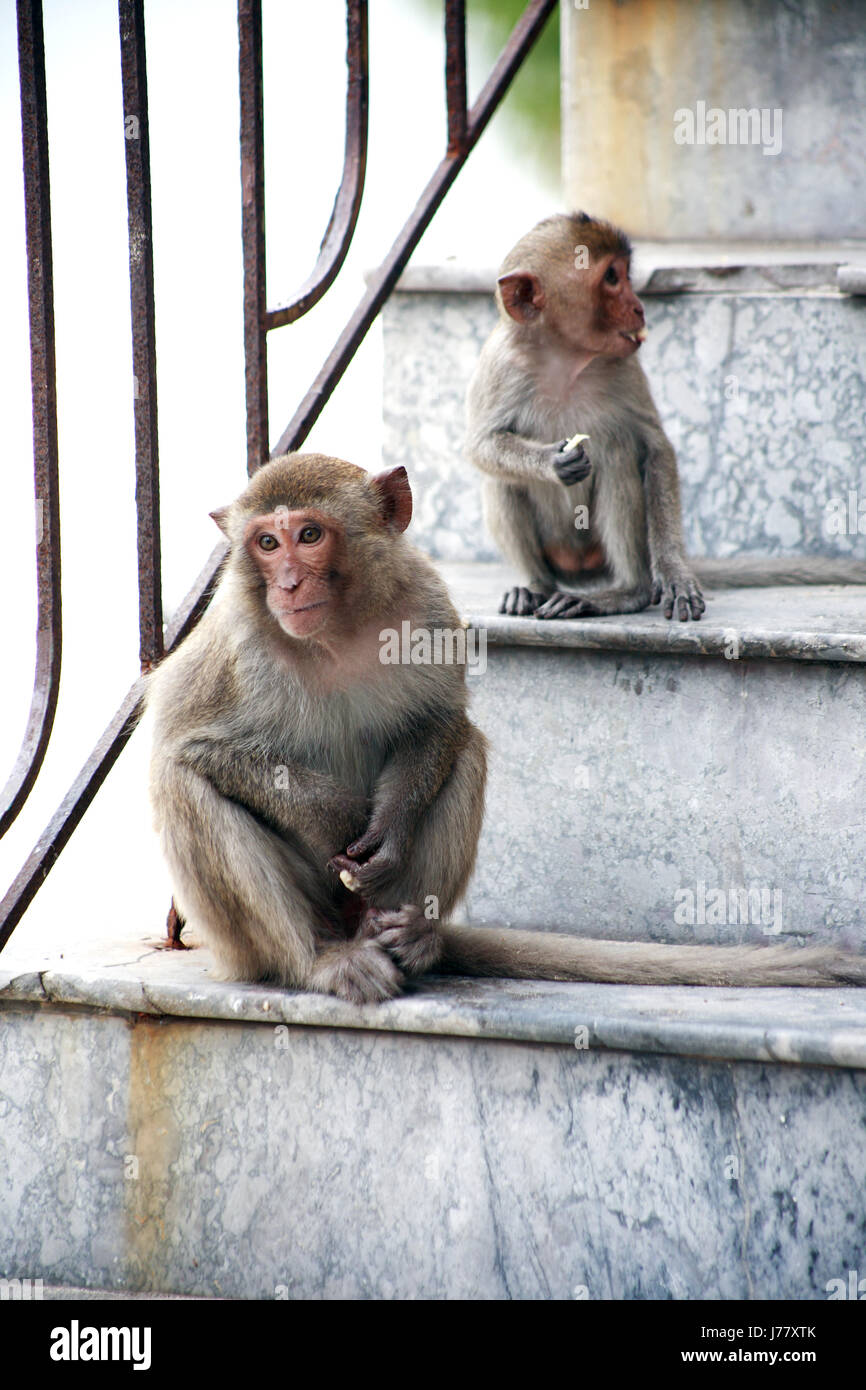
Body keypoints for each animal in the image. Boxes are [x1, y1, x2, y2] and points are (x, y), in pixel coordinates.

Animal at [147, 452, 866, 1001]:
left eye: (308, 536)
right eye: (266, 543)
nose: (290, 585)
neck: (336, 631)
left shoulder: (429, 605)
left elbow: (438, 722)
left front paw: (385, 834)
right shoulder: (237, 642)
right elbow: (183, 748)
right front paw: (337, 815)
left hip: (378, 904)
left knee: (466, 751)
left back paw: (416, 939)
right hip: (256, 937)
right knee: (184, 788)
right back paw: (321, 962)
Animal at [466, 212, 866, 621]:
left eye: (624, 274)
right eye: (612, 278)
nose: (639, 307)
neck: (565, 358)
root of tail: (581, 572)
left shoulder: (624, 367)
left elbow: (656, 448)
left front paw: (674, 572)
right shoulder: (499, 366)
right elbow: (482, 447)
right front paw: (551, 461)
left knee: (616, 453)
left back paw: (626, 592)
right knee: (502, 480)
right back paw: (535, 586)